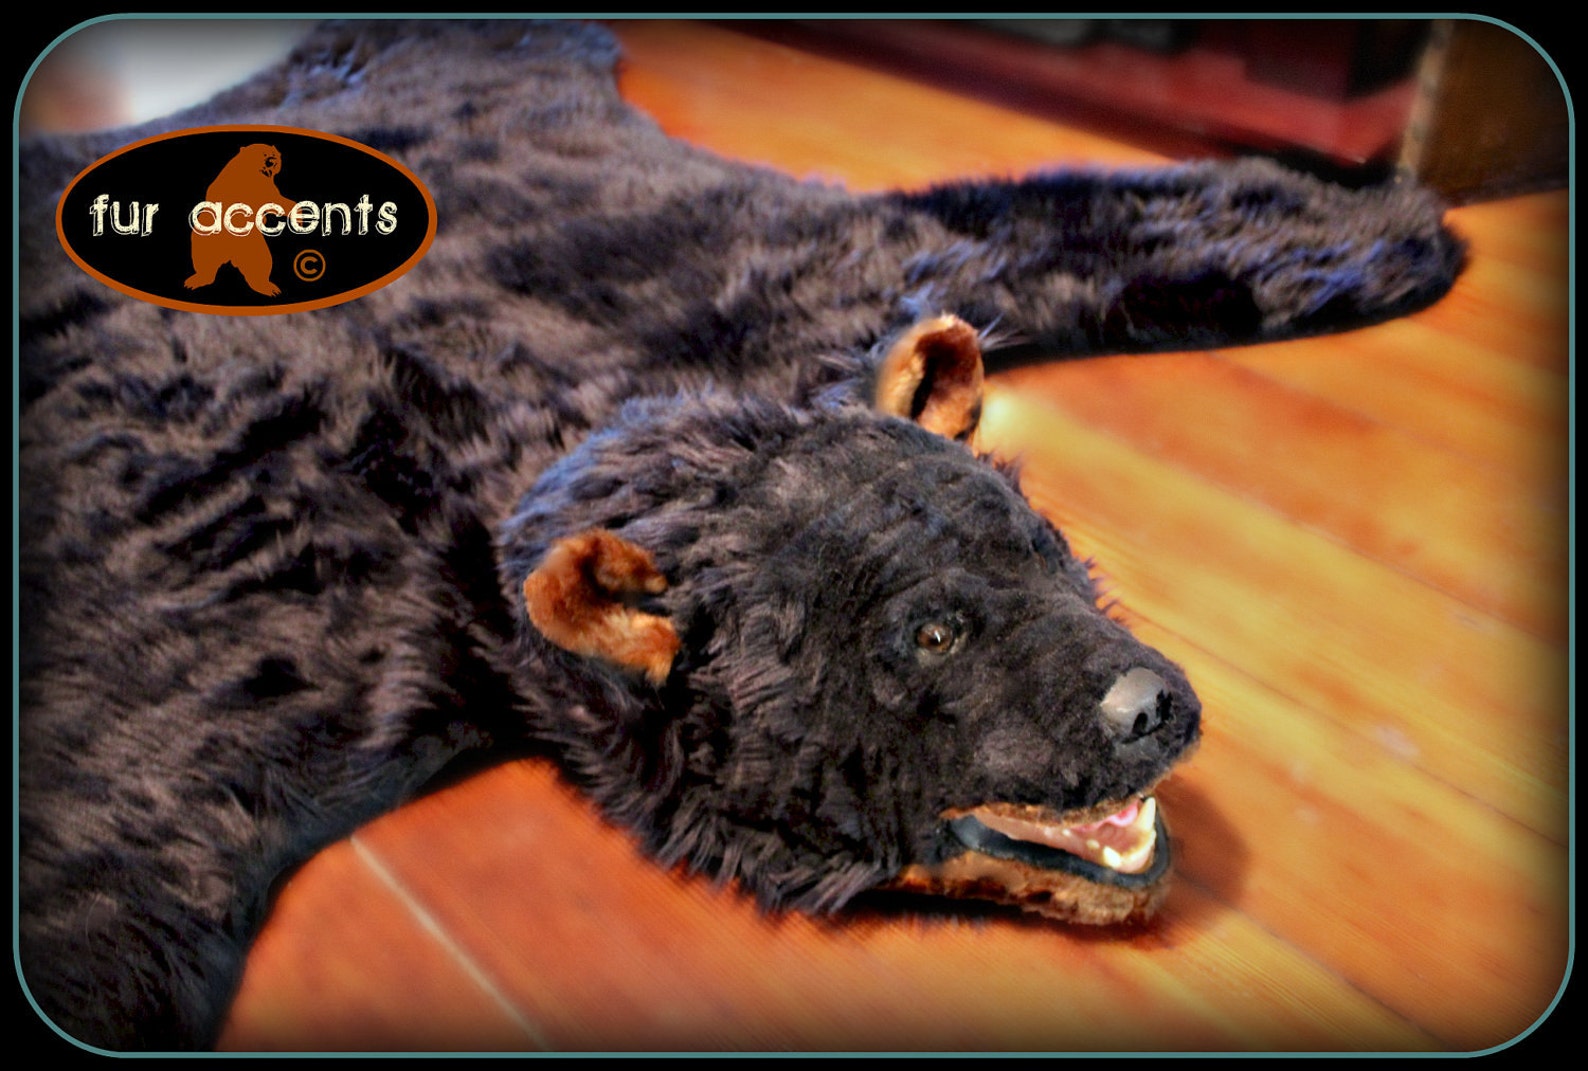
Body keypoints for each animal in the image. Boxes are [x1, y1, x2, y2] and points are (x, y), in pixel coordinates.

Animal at [183, 143, 295, 296]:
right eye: (262, 154)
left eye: (273, 154)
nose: (272, 161)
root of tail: (230, 256)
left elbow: (274, 201)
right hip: (207, 239)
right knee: (204, 256)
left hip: (251, 245)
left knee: (260, 262)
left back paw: (268, 287)